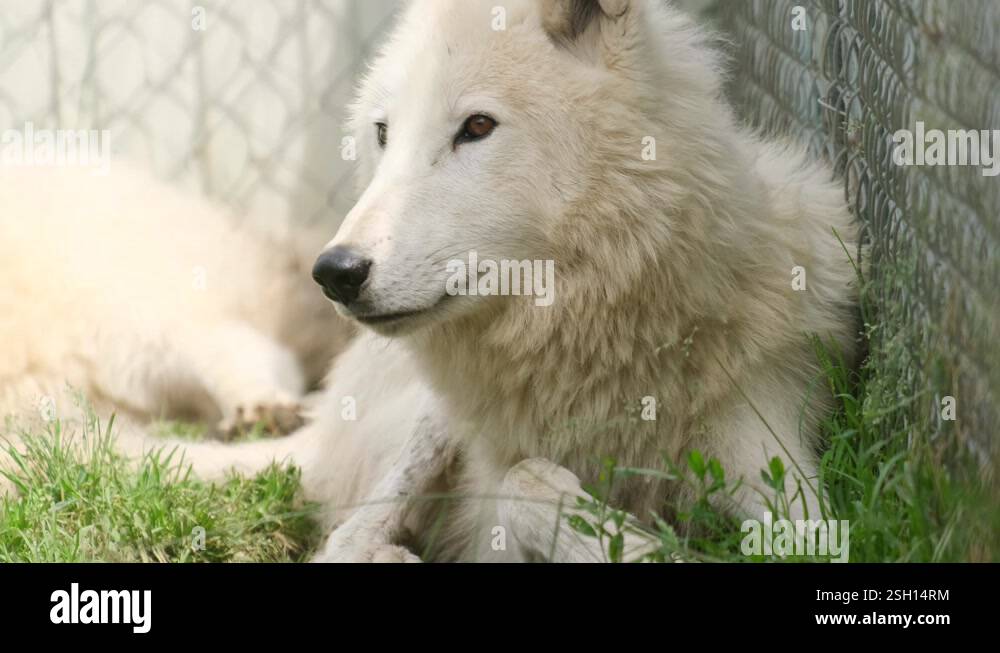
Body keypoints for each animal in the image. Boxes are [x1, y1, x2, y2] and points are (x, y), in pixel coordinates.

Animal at [3, 0, 861, 562]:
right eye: (384, 133)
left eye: (476, 127)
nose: (335, 272)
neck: (605, 342)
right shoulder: (493, 498)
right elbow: (522, 485)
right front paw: (636, 540)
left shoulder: (772, 443)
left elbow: (809, 536)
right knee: (348, 537)